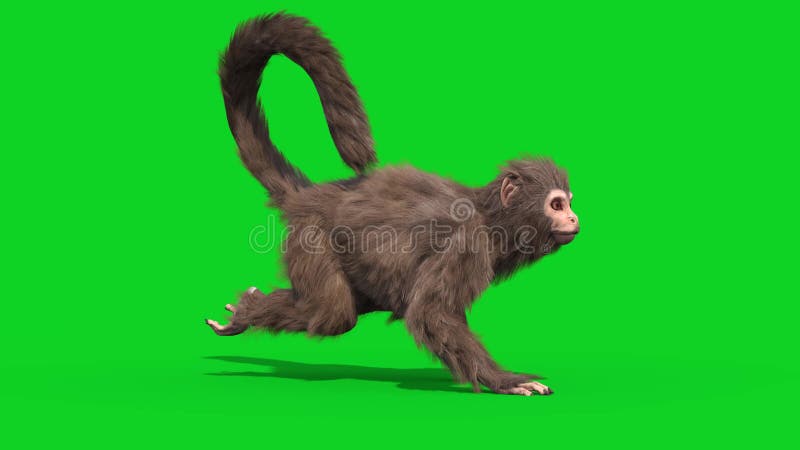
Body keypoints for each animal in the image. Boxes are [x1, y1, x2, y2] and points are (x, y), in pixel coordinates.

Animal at [206, 13, 580, 397]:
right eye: (556, 205)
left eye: (567, 204)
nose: (574, 218)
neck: (491, 218)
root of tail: (313, 196)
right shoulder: (467, 242)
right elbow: (430, 314)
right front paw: (506, 381)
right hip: (311, 239)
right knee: (332, 314)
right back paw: (250, 309)